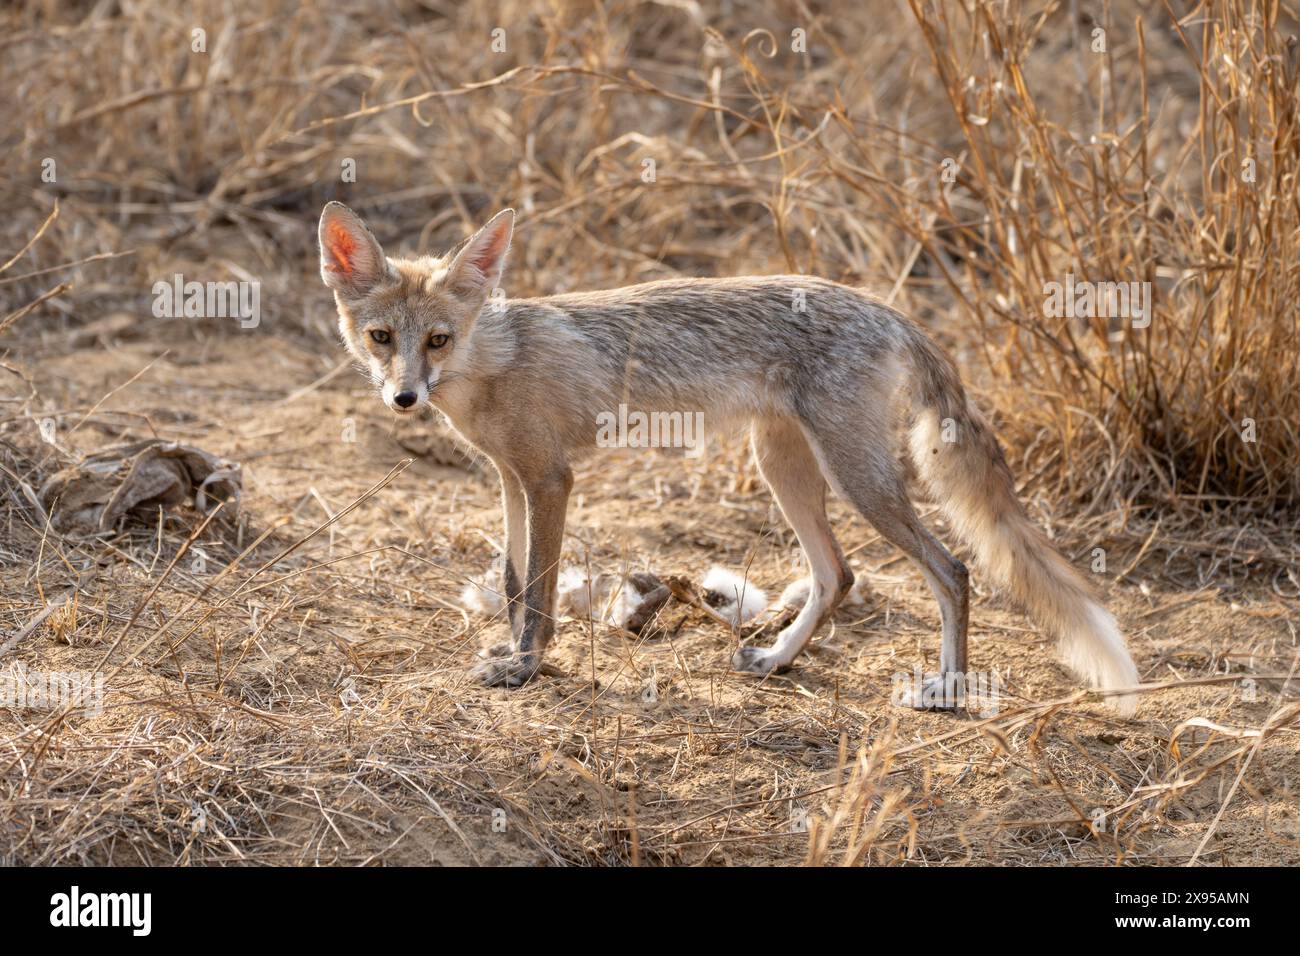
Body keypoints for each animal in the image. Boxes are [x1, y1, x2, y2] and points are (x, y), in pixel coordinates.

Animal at [318, 202, 1140, 714]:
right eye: (382, 338)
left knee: (953, 570)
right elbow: (520, 584)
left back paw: (947, 689)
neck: (494, 361)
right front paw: (513, 653)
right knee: (838, 574)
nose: (404, 398)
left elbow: (543, 596)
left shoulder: (551, 478)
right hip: (784, 466)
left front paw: (526, 668)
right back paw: (777, 661)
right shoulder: (510, 478)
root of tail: (884, 307)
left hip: (858, 478)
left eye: (439, 339)